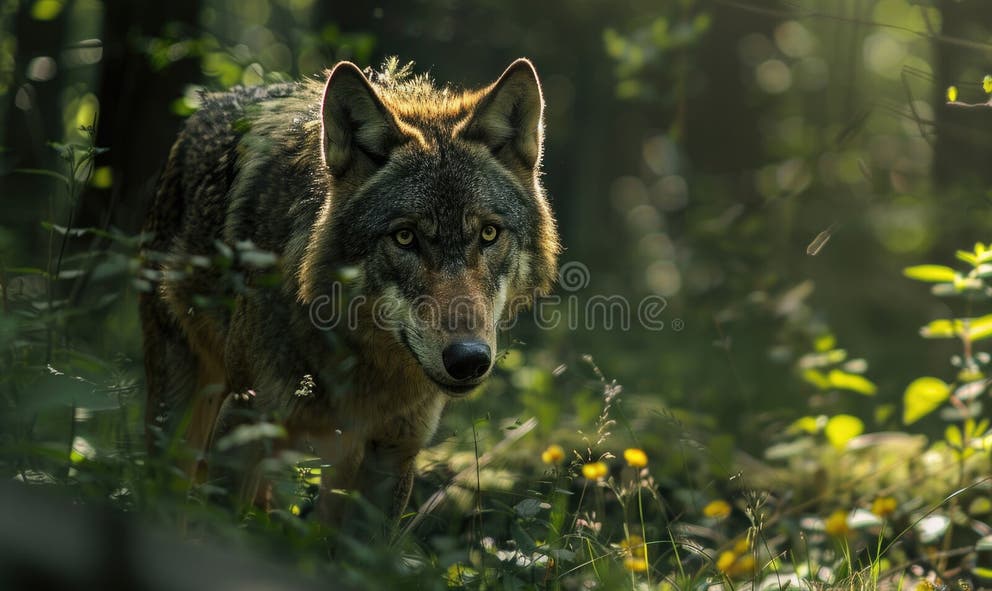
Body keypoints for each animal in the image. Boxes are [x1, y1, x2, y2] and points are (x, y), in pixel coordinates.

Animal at [139, 58, 559, 525]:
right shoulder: (245, 421)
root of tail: (204, 108)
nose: (468, 360)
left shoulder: (393, 453)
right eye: (405, 237)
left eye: (488, 234)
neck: (360, 359)